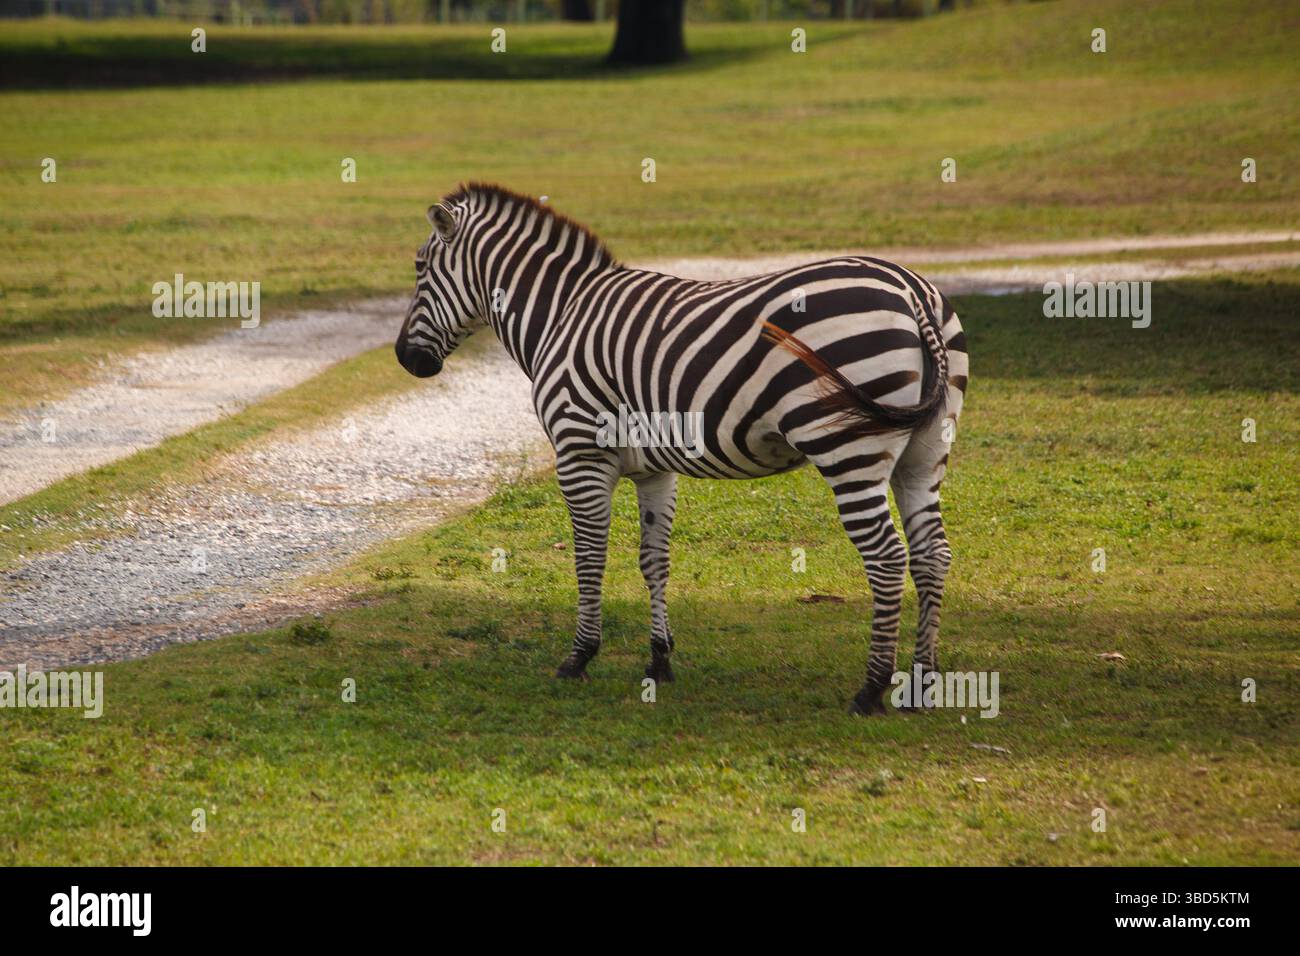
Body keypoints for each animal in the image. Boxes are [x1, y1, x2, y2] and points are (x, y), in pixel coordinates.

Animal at [395, 183, 969, 715]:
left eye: (420, 269)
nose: (405, 359)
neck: (560, 315)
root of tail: (911, 290)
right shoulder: (654, 469)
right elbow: (654, 560)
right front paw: (659, 660)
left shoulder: (579, 454)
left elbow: (589, 556)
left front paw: (579, 657)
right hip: (923, 452)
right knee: (932, 554)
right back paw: (922, 684)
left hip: (848, 448)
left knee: (887, 557)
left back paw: (871, 690)